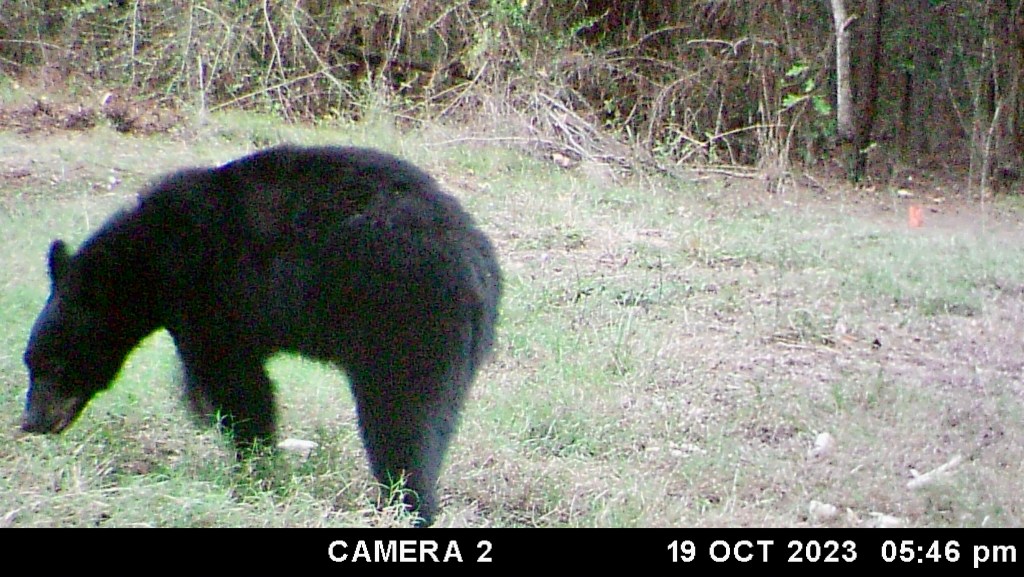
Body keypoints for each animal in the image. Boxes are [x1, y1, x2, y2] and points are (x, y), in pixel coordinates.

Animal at [21, 144, 502, 527]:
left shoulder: (208, 290)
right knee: (436, 423)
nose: (31, 422)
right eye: (30, 363)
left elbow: (236, 383)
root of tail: (480, 267)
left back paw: (405, 505)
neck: (148, 259)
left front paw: (254, 463)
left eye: (53, 364)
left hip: (404, 320)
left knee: (403, 422)